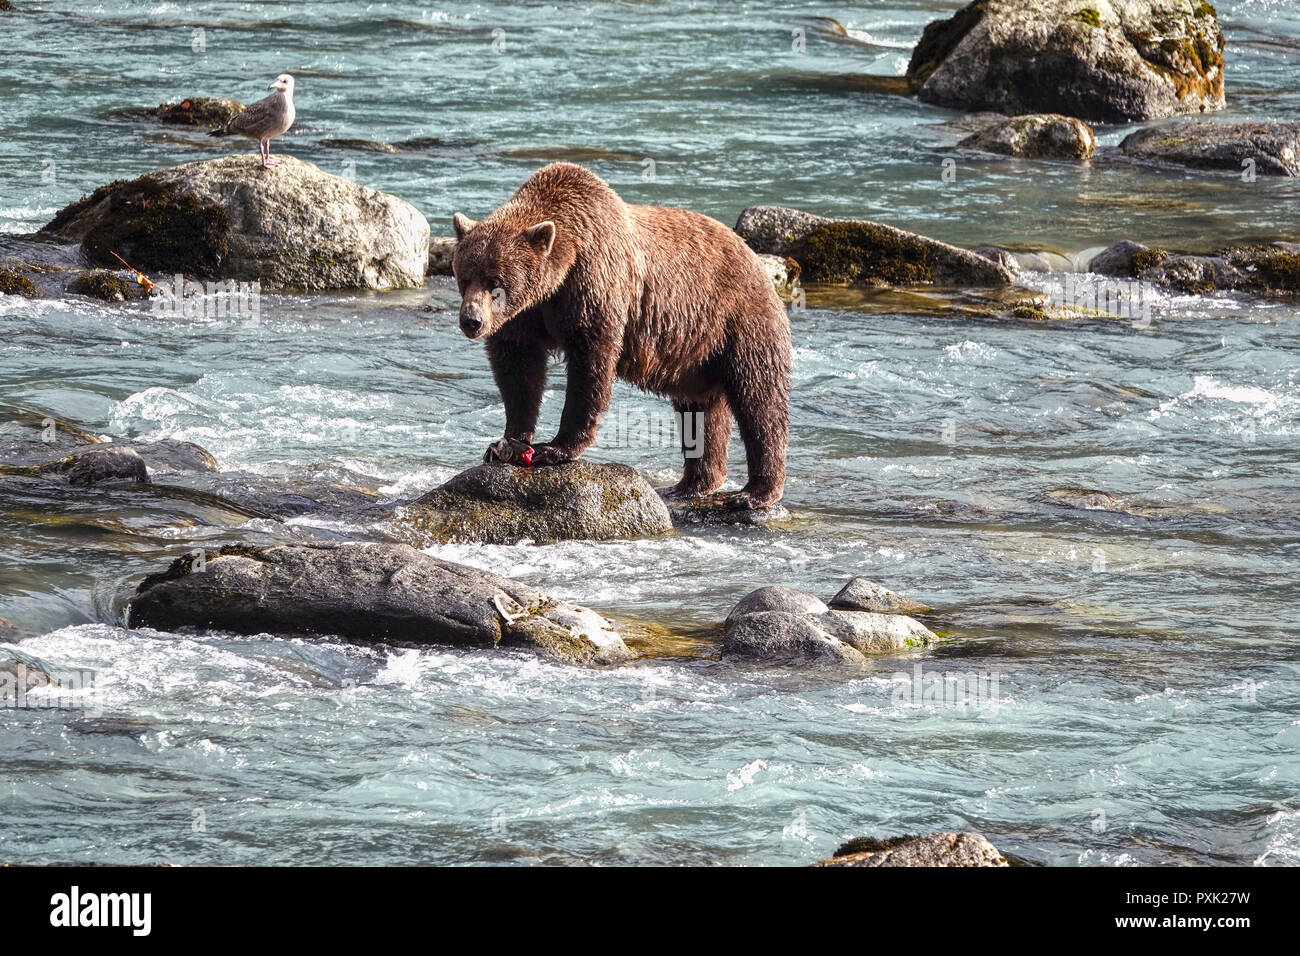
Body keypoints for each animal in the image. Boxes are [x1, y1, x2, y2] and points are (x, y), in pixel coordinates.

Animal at [450, 162, 790, 509]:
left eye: (496, 283)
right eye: (464, 277)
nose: (472, 321)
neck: (556, 280)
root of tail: (755, 260)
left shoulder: (594, 287)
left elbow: (590, 367)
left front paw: (555, 448)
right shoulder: (524, 317)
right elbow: (518, 371)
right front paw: (505, 444)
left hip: (740, 322)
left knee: (758, 401)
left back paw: (755, 492)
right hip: (697, 358)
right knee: (701, 412)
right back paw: (691, 484)